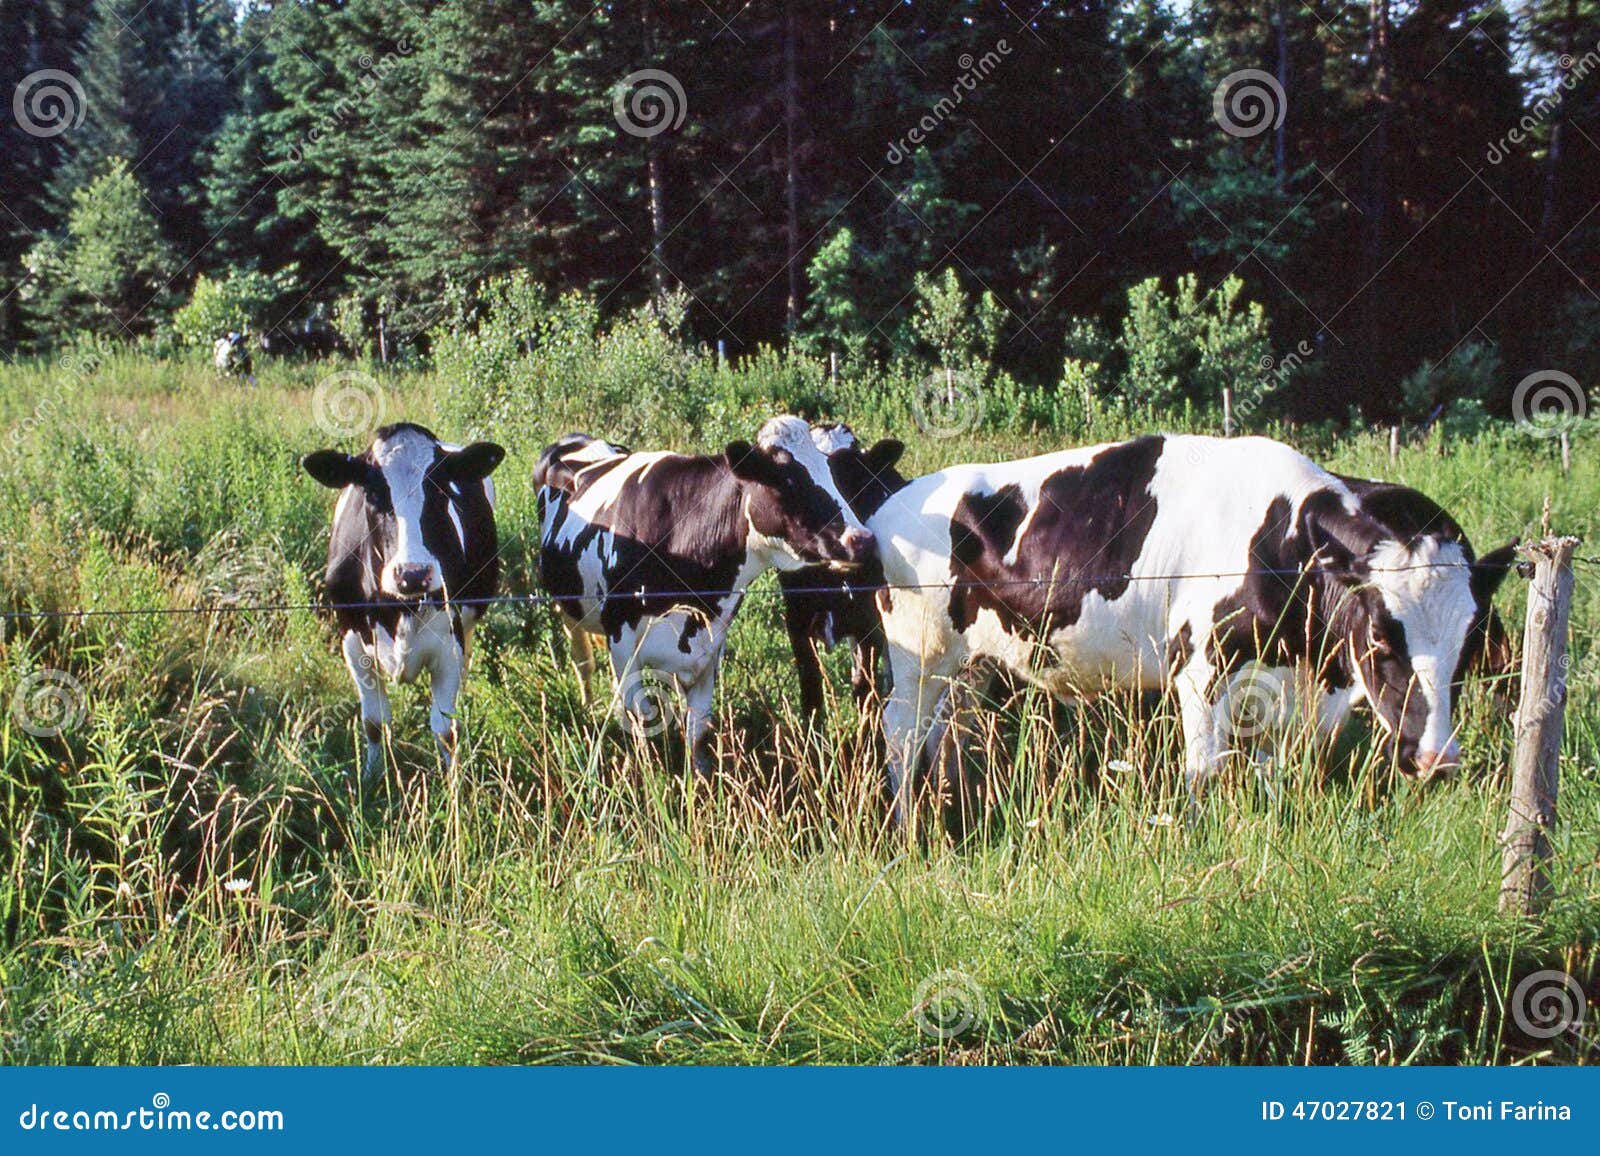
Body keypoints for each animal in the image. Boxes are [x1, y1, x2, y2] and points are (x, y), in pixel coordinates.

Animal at [302, 423, 505, 782]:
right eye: (372, 493)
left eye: (442, 490)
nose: (413, 574)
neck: (398, 608)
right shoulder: (352, 644)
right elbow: (374, 722)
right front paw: (372, 777)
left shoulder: (448, 647)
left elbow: (445, 730)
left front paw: (455, 785)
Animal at [535, 415, 878, 772]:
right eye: (788, 480)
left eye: (832, 474)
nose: (862, 540)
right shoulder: (624, 648)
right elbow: (641, 722)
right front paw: (650, 778)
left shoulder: (709, 646)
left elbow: (697, 730)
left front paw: (697, 779)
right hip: (567, 608)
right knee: (582, 661)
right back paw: (588, 707)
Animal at [865, 433, 1516, 826]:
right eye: (1381, 639)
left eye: (1467, 651)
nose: (1436, 759)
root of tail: (891, 503)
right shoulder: (1202, 671)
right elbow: (1204, 771)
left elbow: (1272, 772)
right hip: (919, 654)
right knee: (901, 733)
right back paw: (909, 822)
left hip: (969, 662)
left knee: (948, 730)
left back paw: (951, 803)